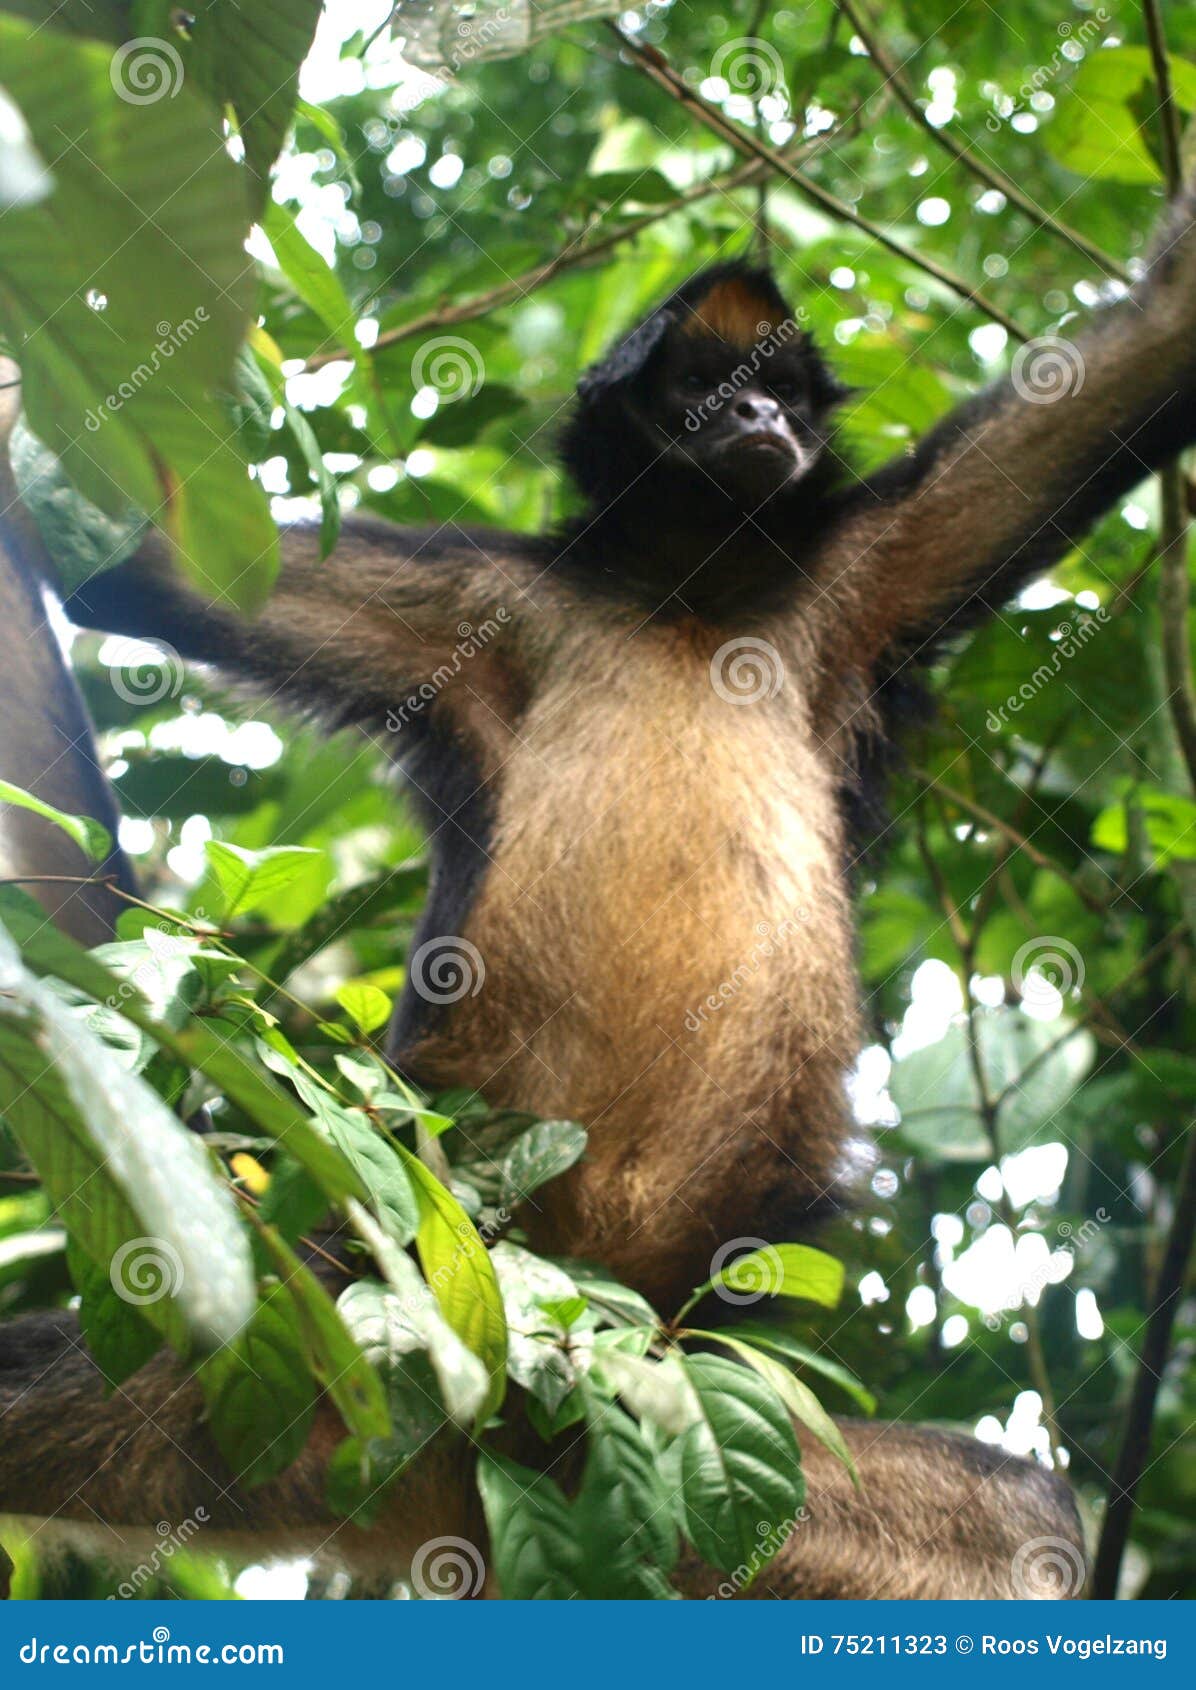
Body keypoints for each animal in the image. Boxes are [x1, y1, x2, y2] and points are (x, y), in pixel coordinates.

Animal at [4, 180, 1196, 1596]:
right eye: (704, 385)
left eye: (780, 393)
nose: (759, 426)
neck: (687, 591)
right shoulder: (487, 595)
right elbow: (120, 573)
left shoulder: (860, 577)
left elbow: (1153, 345)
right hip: (319, 1341)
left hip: (708, 1421)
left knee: (1027, 1530)